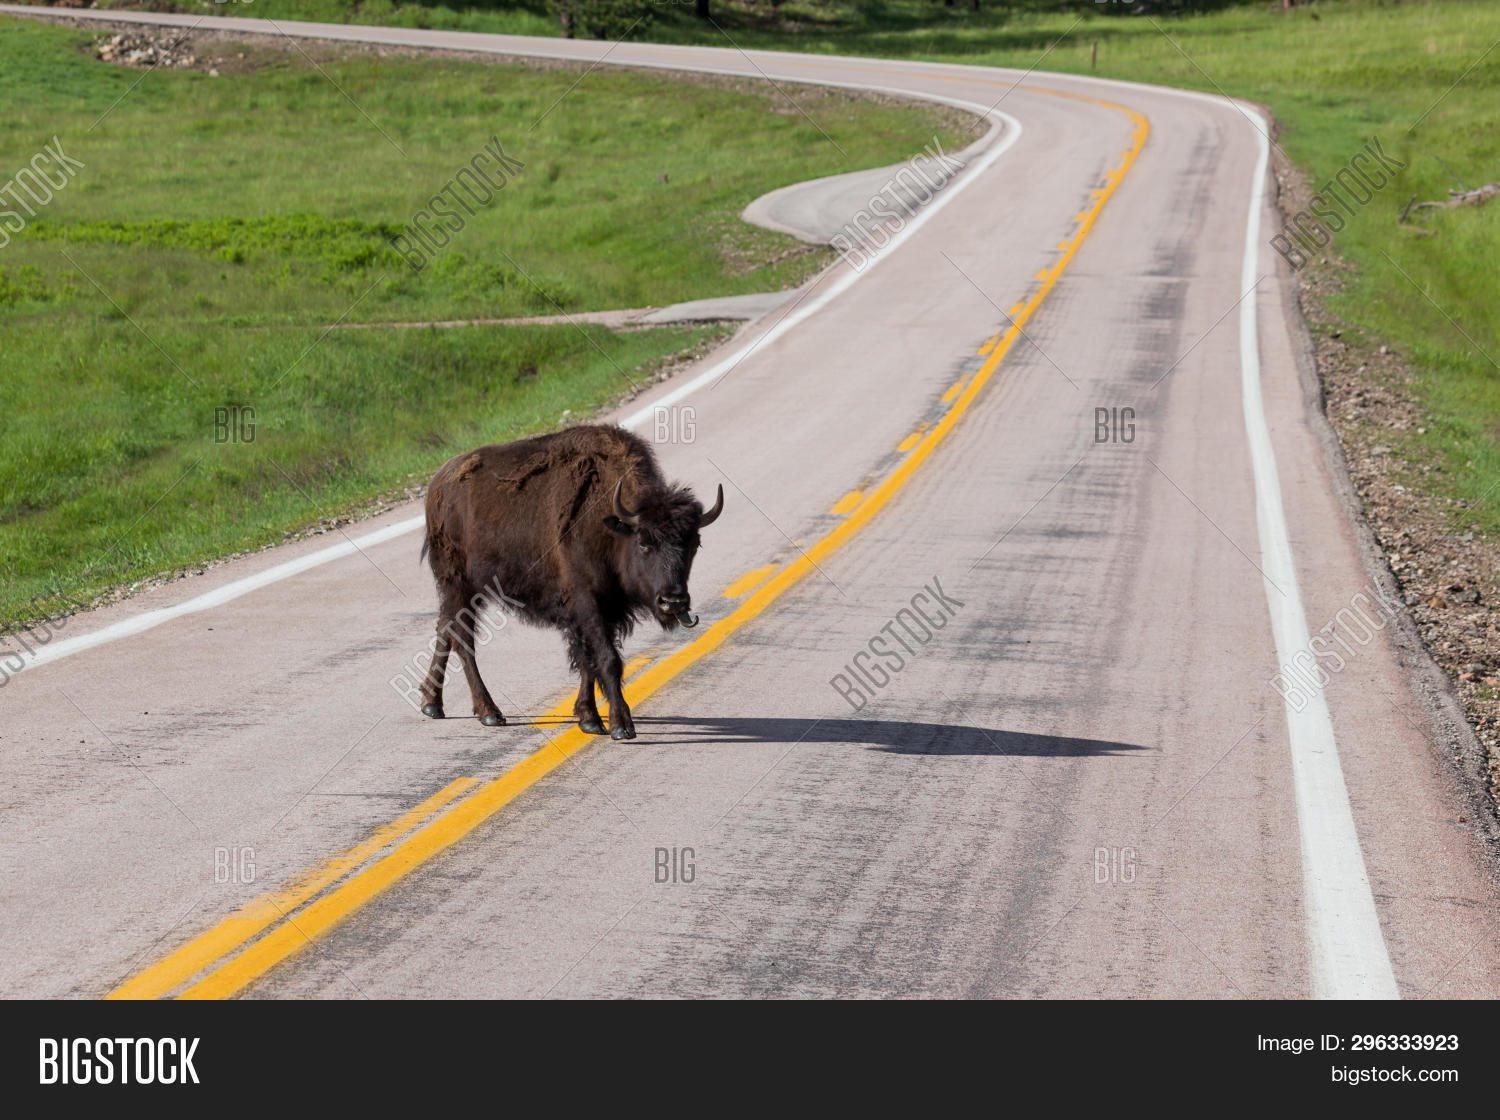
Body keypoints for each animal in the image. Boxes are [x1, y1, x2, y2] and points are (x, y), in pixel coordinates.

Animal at [417, 424, 723, 739]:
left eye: (694, 544)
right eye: (644, 543)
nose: (673, 601)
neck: (611, 525)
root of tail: (438, 483)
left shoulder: (602, 610)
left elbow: (588, 660)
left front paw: (589, 719)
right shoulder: (586, 601)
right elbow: (607, 659)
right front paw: (621, 725)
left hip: (458, 592)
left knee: (445, 628)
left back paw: (432, 703)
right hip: (460, 585)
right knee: (463, 640)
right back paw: (489, 712)